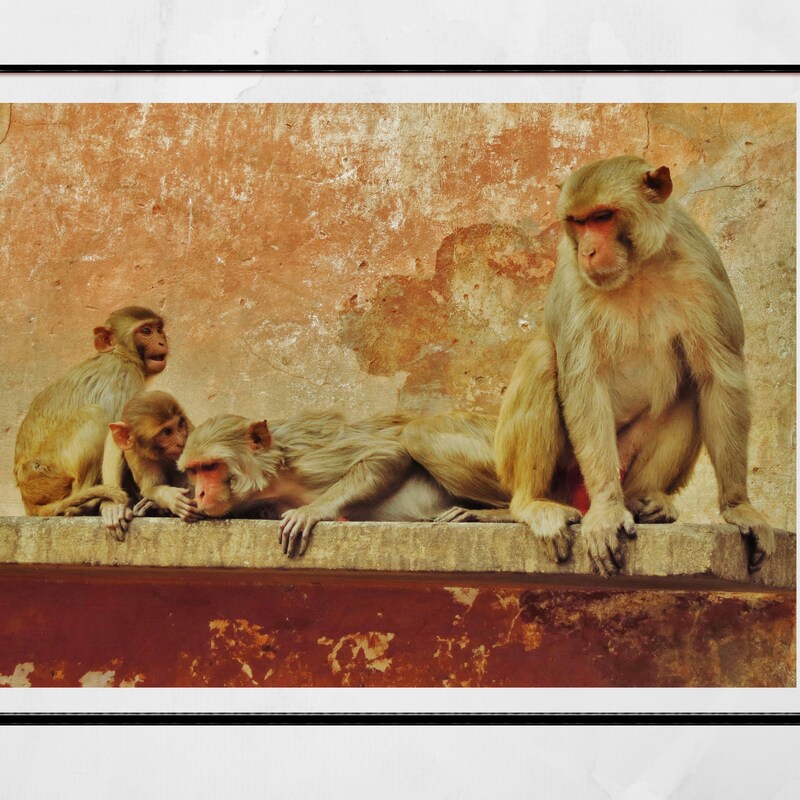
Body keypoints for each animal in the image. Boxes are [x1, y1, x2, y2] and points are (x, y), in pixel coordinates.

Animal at [13, 306, 169, 518]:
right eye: (146, 331)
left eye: (158, 329)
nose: (161, 341)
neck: (120, 354)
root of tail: (27, 499)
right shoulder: (125, 376)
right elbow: (121, 435)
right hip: (44, 472)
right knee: (93, 415)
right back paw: (83, 505)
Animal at [100, 391, 202, 540]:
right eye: (167, 432)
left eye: (180, 424)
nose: (181, 442)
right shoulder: (137, 453)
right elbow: (150, 488)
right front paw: (171, 499)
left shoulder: (189, 432)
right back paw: (114, 508)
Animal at [178, 409, 511, 557]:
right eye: (194, 471)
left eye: (210, 466)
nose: (201, 492)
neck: (276, 478)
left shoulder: (309, 456)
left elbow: (389, 452)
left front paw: (311, 512)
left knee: (418, 433)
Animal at [494, 155, 773, 576]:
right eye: (578, 222)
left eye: (603, 216)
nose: (588, 251)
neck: (637, 268)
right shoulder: (572, 277)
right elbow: (583, 382)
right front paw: (608, 512)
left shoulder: (703, 270)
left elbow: (717, 379)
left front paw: (739, 506)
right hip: (566, 474)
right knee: (545, 358)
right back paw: (536, 502)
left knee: (691, 388)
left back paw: (649, 501)